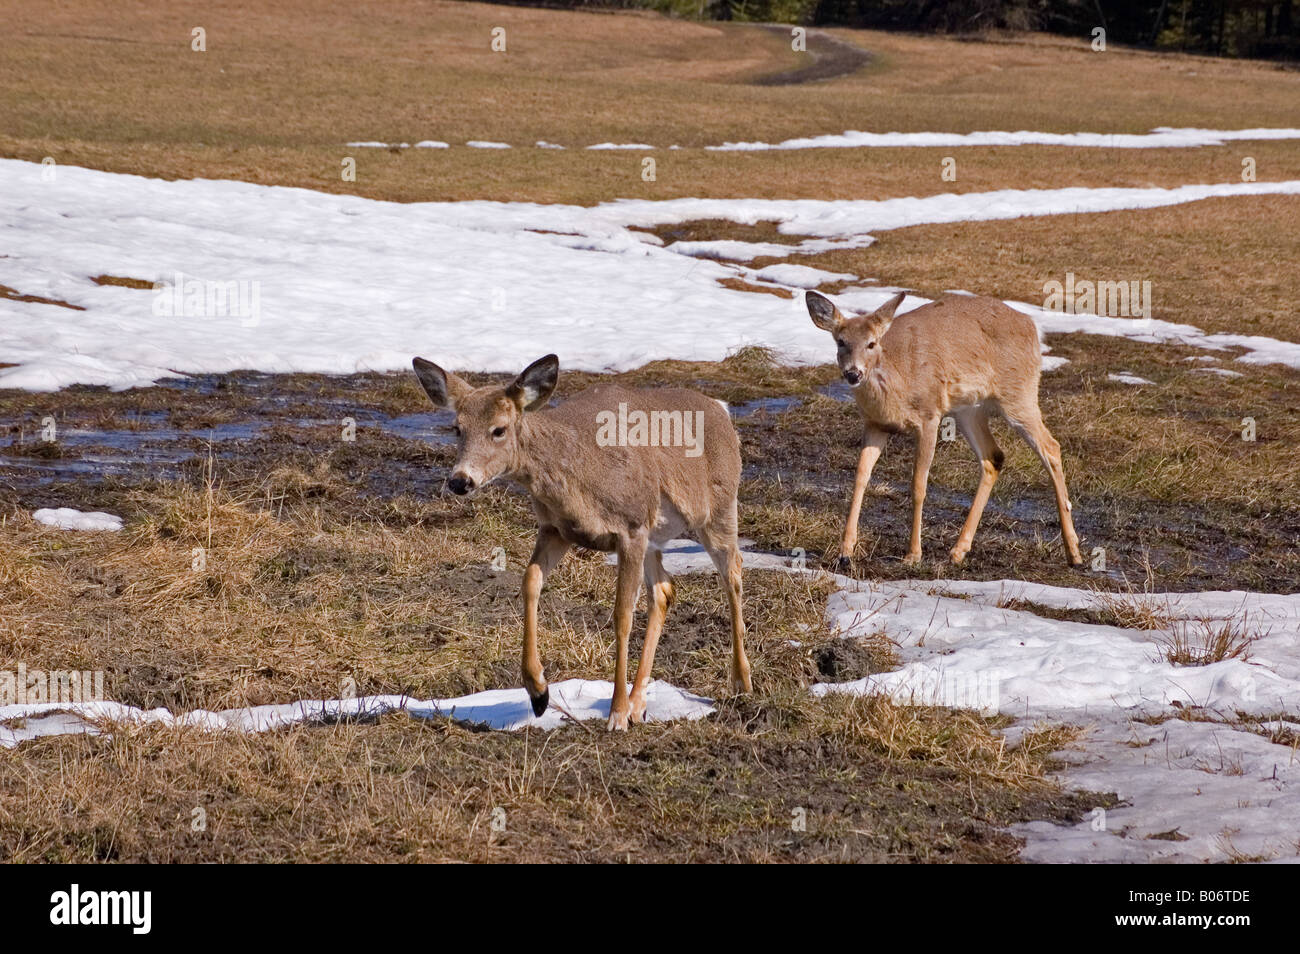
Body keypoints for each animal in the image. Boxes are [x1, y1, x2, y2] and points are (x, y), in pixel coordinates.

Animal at [411, 354, 751, 731]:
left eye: (499, 429)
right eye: (457, 428)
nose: (460, 481)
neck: (575, 475)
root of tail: (720, 408)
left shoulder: (631, 527)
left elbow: (622, 615)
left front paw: (616, 713)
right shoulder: (556, 529)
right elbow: (530, 581)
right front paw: (538, 691)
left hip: (719, 508)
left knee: (733, 573)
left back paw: (741, 683)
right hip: (655, 535)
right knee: (664, 590)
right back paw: (640, 704)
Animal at [805, 290, 1083, 570]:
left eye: (872, 343)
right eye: (841, 342)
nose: (853, 373)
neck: (897, 380)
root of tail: (1031, 326)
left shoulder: (929, 415)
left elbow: (918, 485)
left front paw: (913, 554)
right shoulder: (875, 424)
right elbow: (860, 477)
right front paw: (845, 552)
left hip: (1018, 393)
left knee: (1051, 447)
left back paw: (1074, 553)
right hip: (969, 409)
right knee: (993, 457)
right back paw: (958, 550)